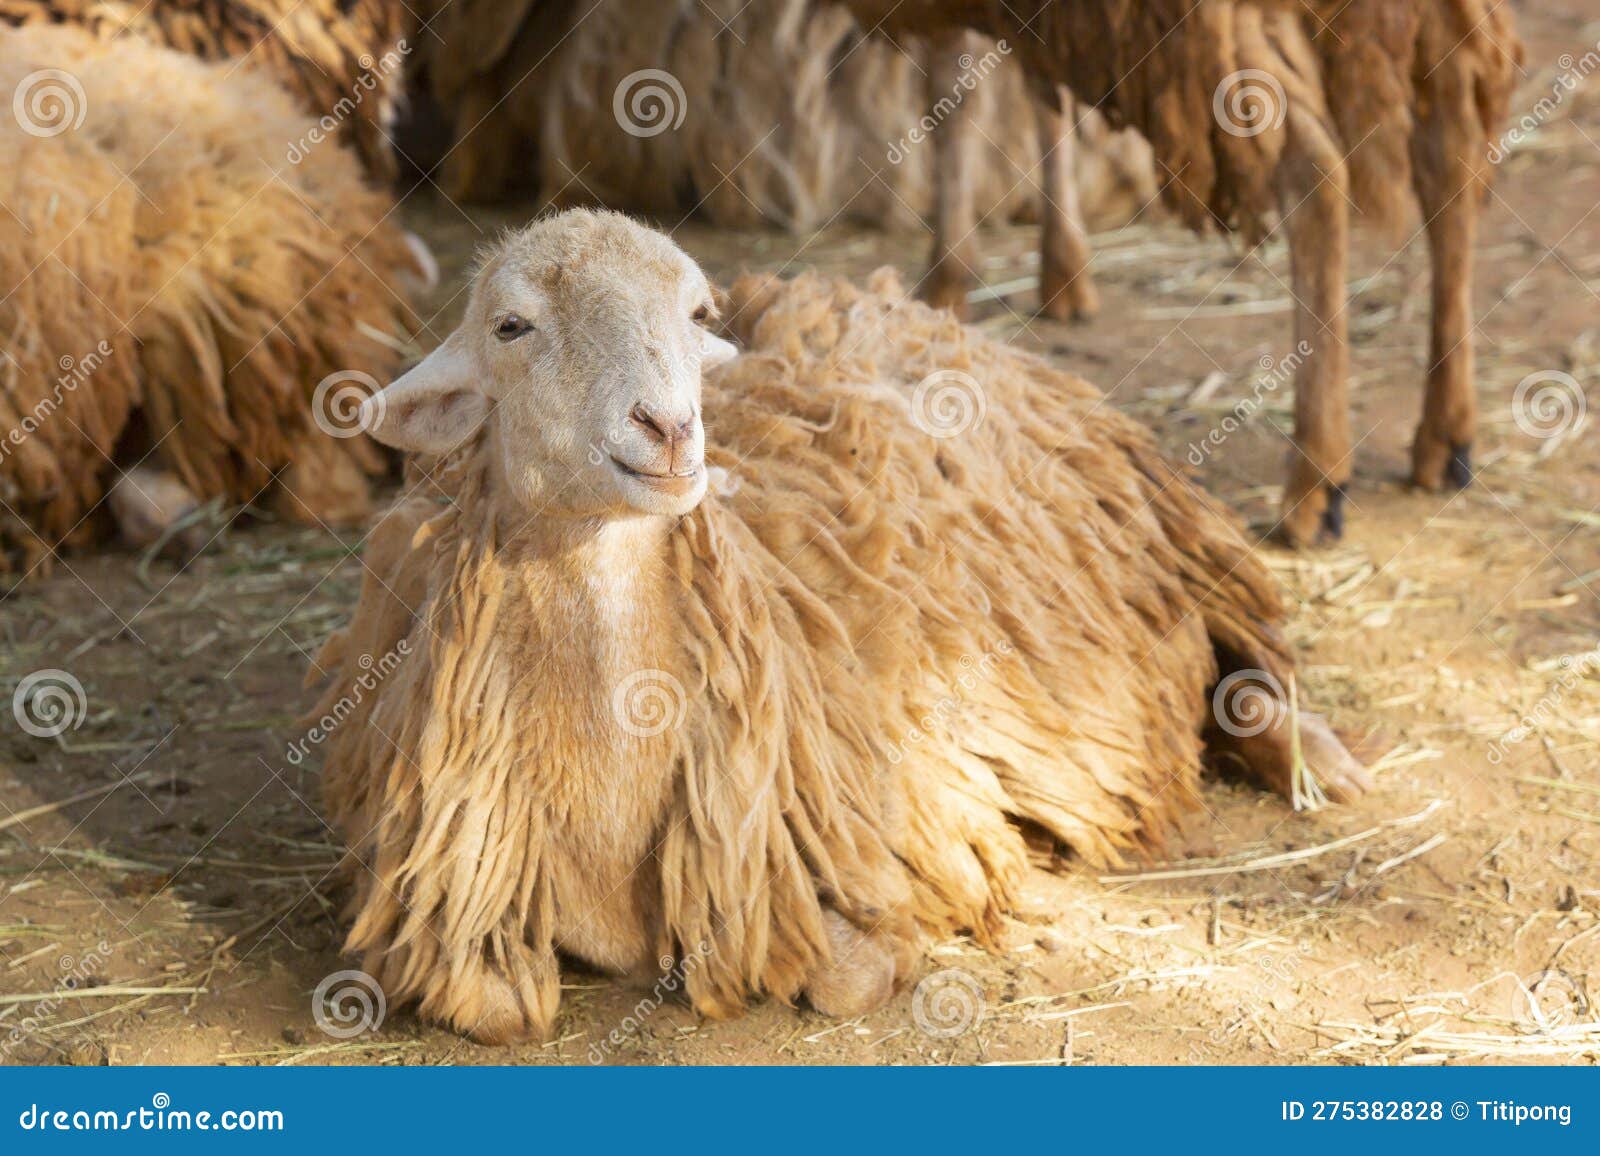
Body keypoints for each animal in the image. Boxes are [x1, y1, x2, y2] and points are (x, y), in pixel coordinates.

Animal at [309, 209, 1367, 1044]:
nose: (670, 429)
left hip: (1166, 535)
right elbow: (494, 1009)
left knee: (1249, 658)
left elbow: (844, 976)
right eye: (512, 325)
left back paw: (1315, 758)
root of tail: (876, 293)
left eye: (698, 315)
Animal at [843, 0, 1524, 547]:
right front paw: (1059, 271)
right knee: (1450, 137)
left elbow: (954, 88)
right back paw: (1445, 434)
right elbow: (1009, 88)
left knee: (1313, 166)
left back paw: (1315, 481)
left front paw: (945, 278)